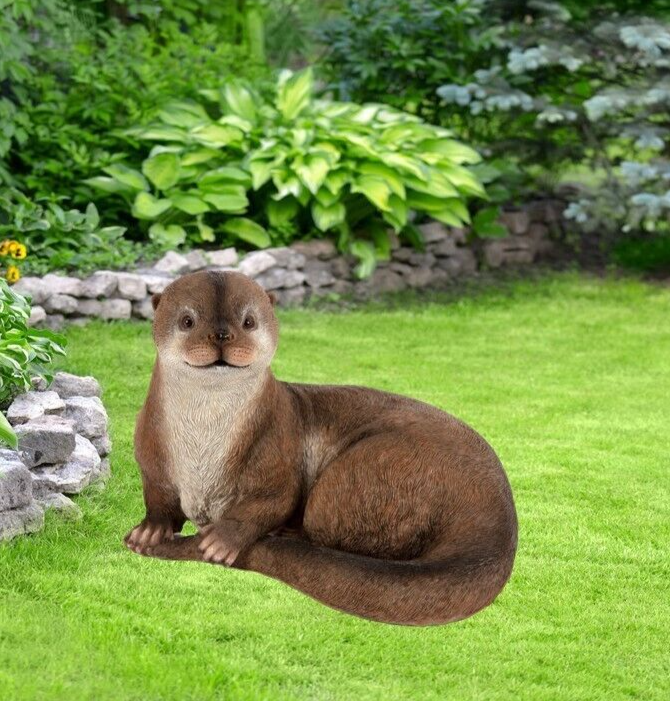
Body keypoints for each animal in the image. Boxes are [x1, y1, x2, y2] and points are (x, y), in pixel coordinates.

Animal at [125, 270, 517, 626]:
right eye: (187, 320)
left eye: (248, 321)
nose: (221, 334)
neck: (202, 445)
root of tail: (499, 515)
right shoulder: (152, 455)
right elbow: (158, 497)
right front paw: (150, 530)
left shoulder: (277, 439)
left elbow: (272, 499)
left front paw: (221, 540)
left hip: (364, 474)